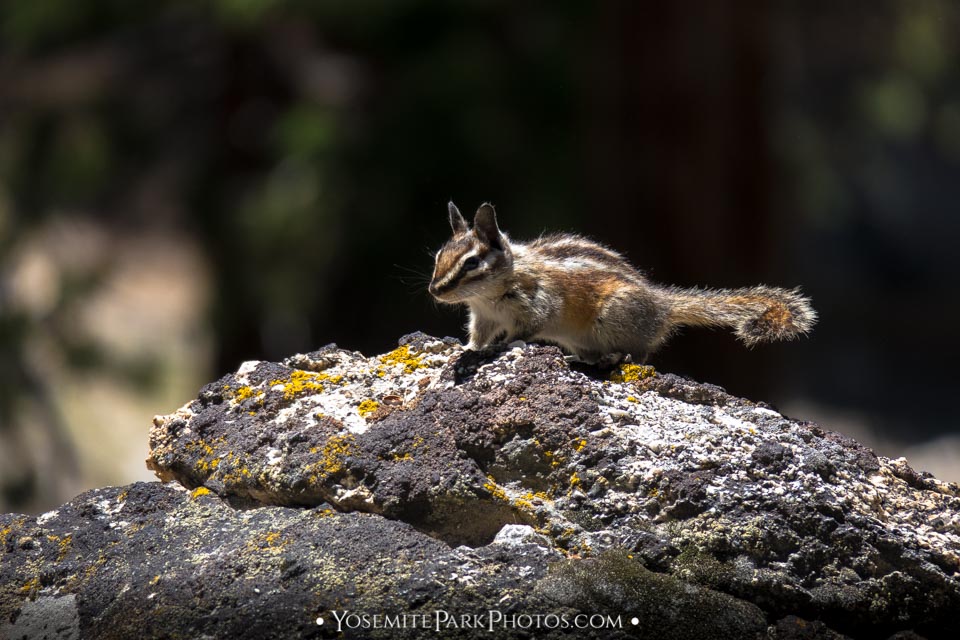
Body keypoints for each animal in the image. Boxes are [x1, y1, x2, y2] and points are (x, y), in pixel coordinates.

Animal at [429, 202, 816, 364]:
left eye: (472, 262)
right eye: (438, 255)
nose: (435, 290)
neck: (487, 295)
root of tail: (663, 305)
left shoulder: (537, 302)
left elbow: (527, 328)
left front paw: (504, 346)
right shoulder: (482, 316)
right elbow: (477, 335)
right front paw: (467, 349)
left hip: (614, 315)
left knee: (642, 353)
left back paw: (617, 357)